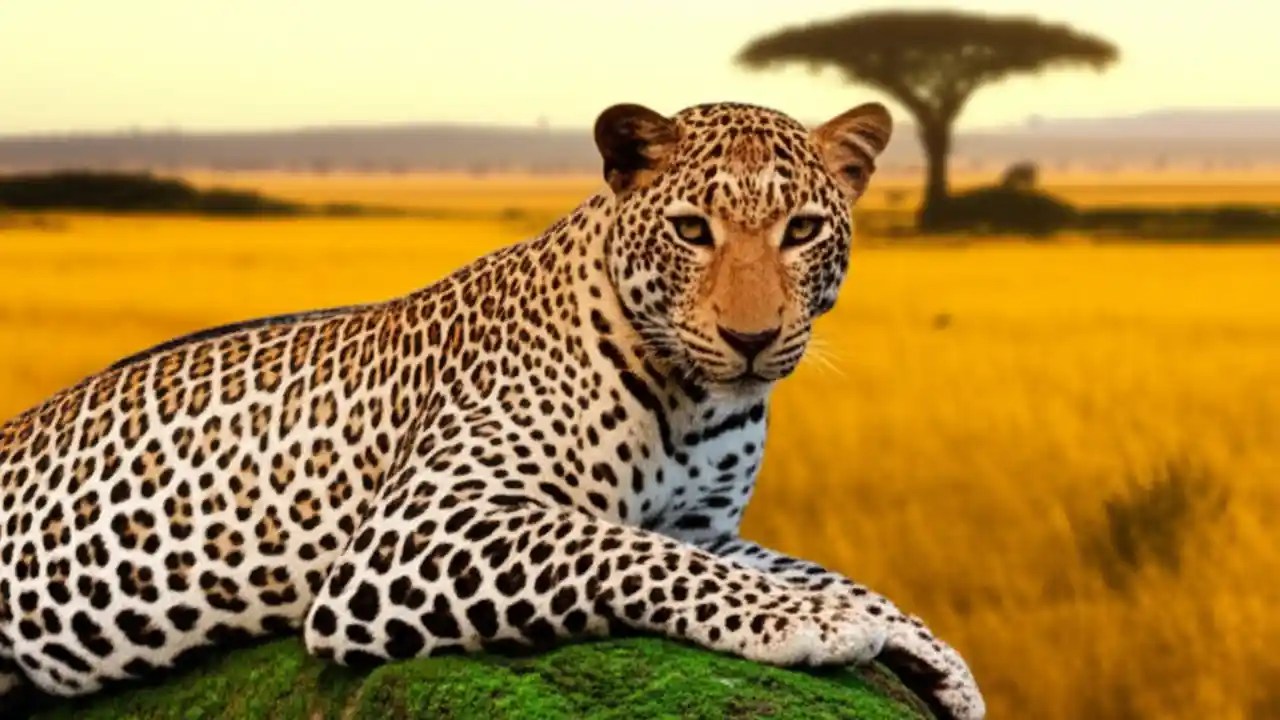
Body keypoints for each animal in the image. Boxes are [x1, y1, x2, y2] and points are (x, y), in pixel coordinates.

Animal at [0, 100, 985, 719]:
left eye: (803, 231)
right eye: (691, 230)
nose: (752, 337)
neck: (699, 404)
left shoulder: (708, 527)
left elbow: (815, 568)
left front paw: (932, 655)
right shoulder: (418, 529)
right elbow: (625, 549)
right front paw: (809, 623)